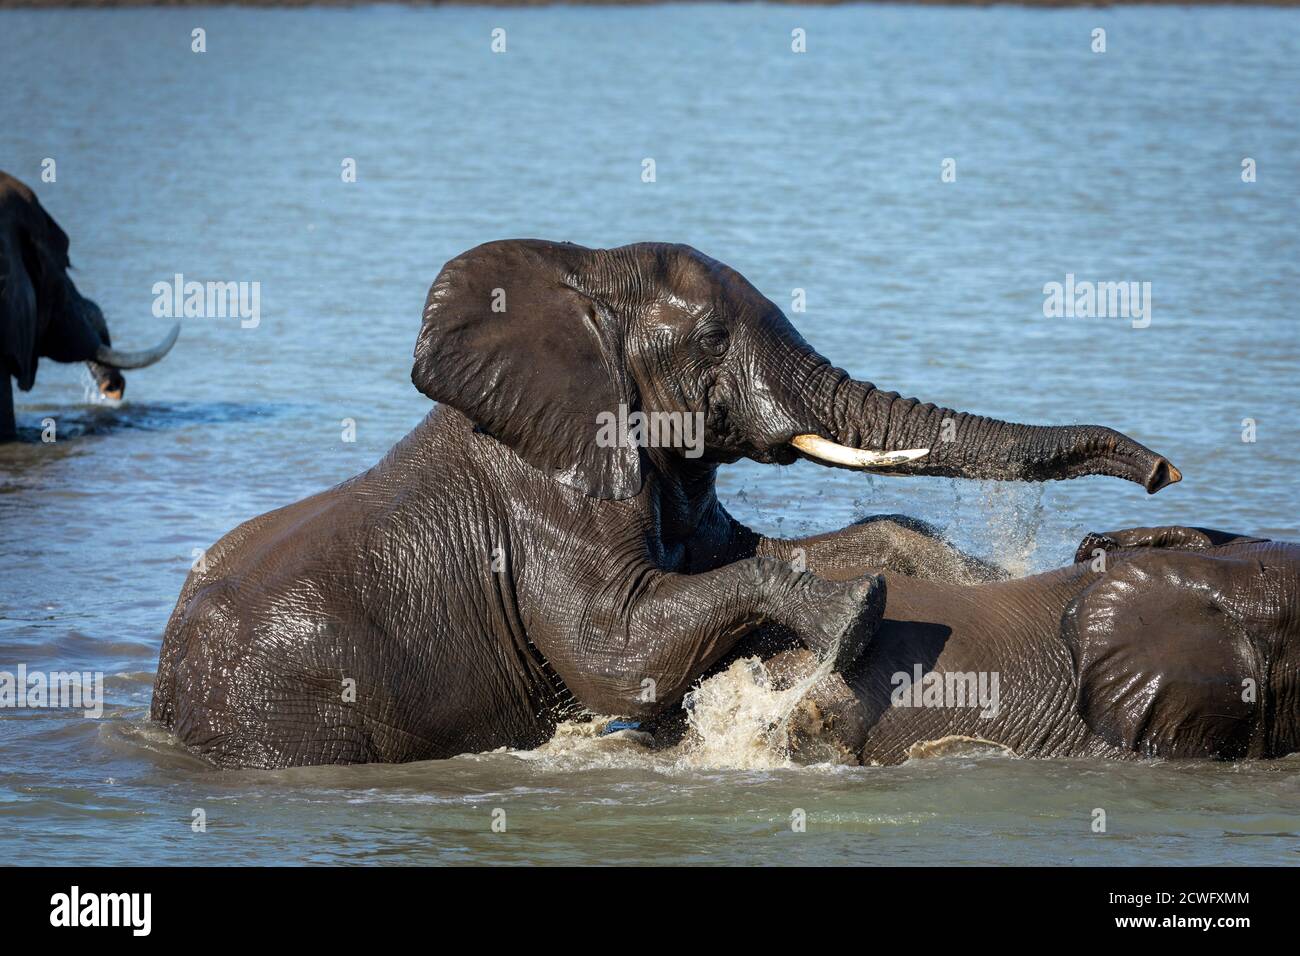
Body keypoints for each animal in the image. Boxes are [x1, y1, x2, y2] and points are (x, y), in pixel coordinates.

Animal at [151, 239, 1181, 769]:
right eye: (715, 339)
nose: (1165, 472)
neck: (580, 277)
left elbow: (742, 556)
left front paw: (957, 572)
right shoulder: (547, 491)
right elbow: (619, 655)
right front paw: (856, 613)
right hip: (283, 715)